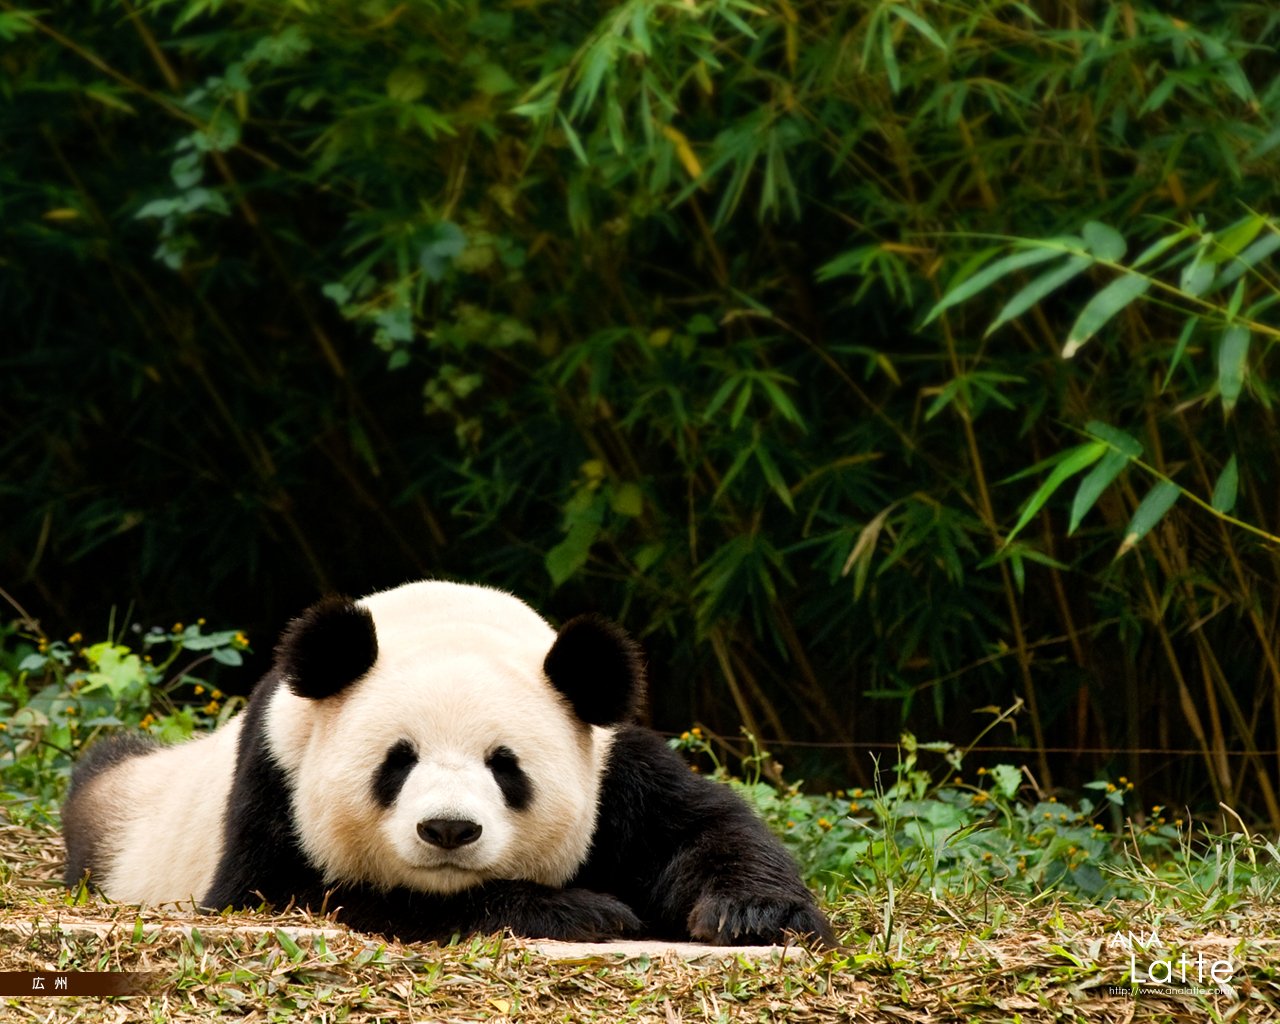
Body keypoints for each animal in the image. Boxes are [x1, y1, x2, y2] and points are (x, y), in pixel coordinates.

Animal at [63, 580, 834, 947]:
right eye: (397, 762)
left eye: (505, 766)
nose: (449, 831)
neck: (443, 617)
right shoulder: (277, 772)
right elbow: (295, 891)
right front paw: (580, 911)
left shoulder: (613, 764)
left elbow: (703, 828)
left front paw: (755, 914)